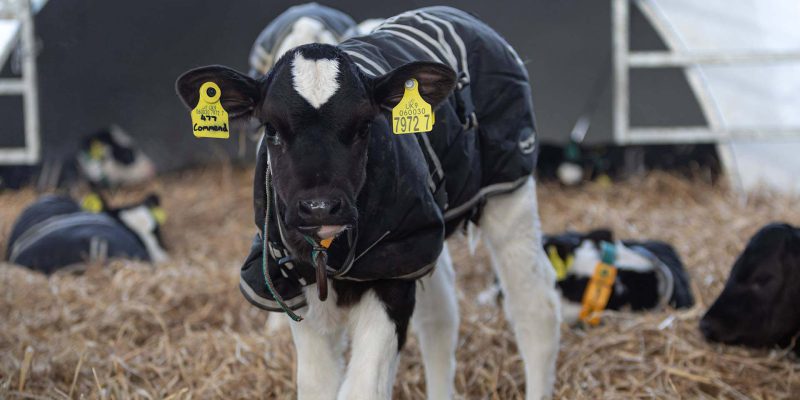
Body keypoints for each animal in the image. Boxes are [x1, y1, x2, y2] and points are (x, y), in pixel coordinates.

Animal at [176, 6, 560, 399]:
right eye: (271, 129)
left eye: (364, 125)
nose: (320, 207)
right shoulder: (295, 278)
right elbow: (316, 385)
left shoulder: (392, 273)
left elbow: (362, 387)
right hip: (425, 233)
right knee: (441, 316)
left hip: (507, 187)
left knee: (536, 306)